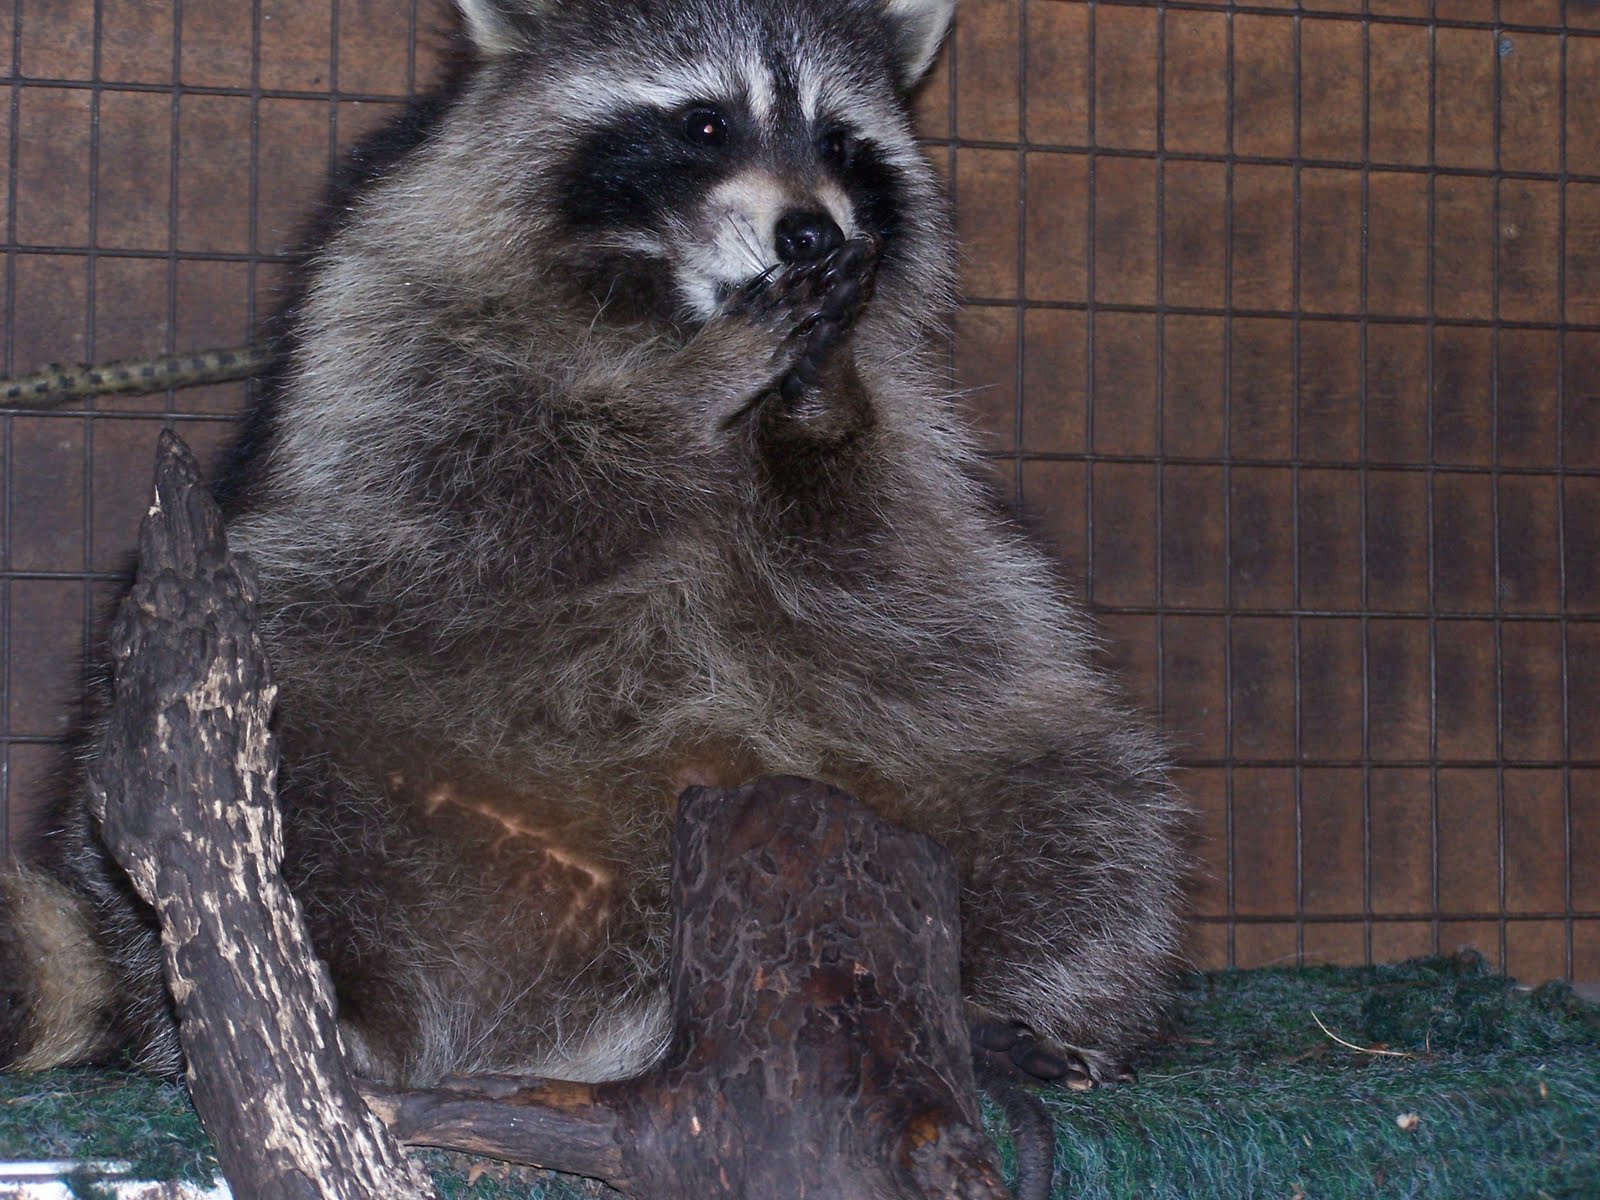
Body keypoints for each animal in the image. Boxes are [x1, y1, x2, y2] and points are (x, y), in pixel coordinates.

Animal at [1, 0, 1188, 1090]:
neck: (668, 294)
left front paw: (815, 413)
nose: (810, 232)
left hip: (915, 768)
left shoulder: (908, 414)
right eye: (706, 123)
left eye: (846, 144)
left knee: (1077, 799)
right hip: (327, 716)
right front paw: (686, 393)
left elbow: (874, 547)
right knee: (227, 753)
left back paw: (968, 1005)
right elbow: (492, 487)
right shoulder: (390, 311)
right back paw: (323, 1000)